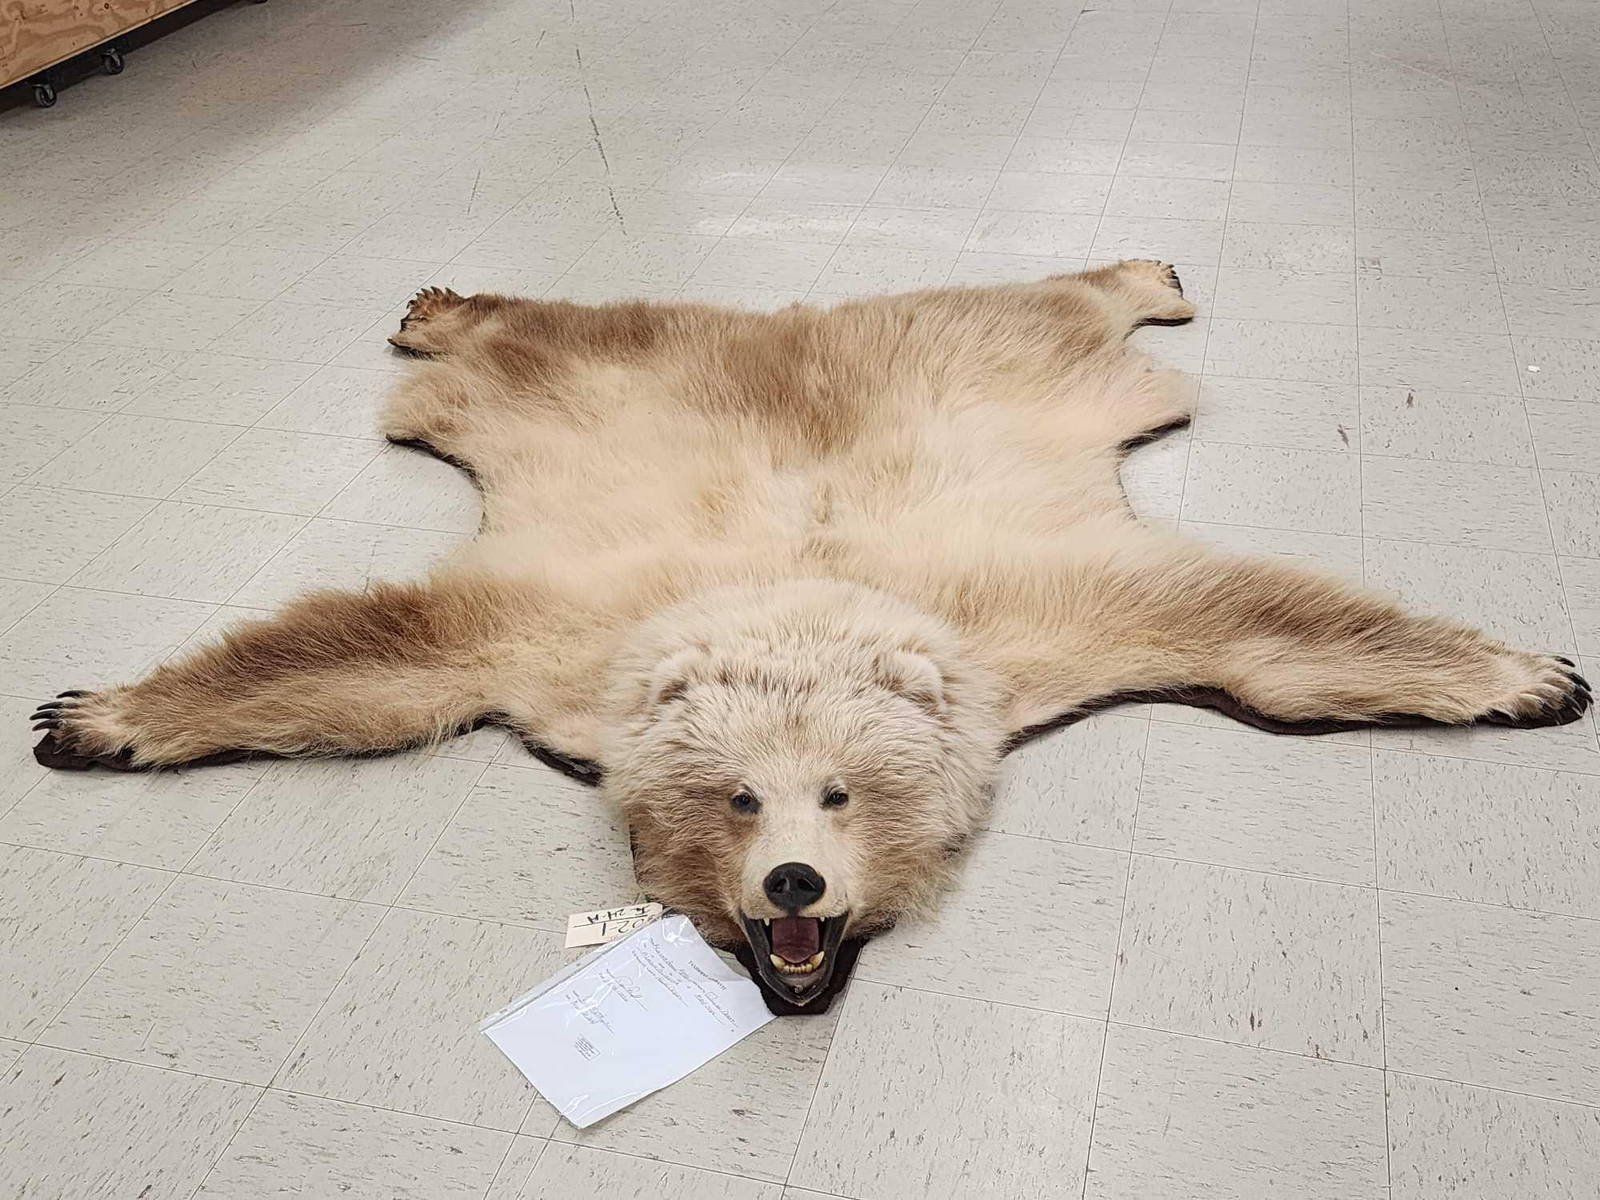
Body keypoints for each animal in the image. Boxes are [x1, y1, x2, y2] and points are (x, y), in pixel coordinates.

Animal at [31, 261, 1591, 1010]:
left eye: (839, 794)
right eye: (737, 798)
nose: (791, 885)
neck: (798, 598)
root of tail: (799, 322)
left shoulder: (1047, 608)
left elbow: (1267, 631)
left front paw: (1528, 675)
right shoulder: (550, 629)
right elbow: (366, 658)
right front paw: (95, 716)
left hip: (1012, 361)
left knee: (1055, 304)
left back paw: (1142, 269)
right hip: (579, 389)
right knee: (526, 343)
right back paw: (442, 307)